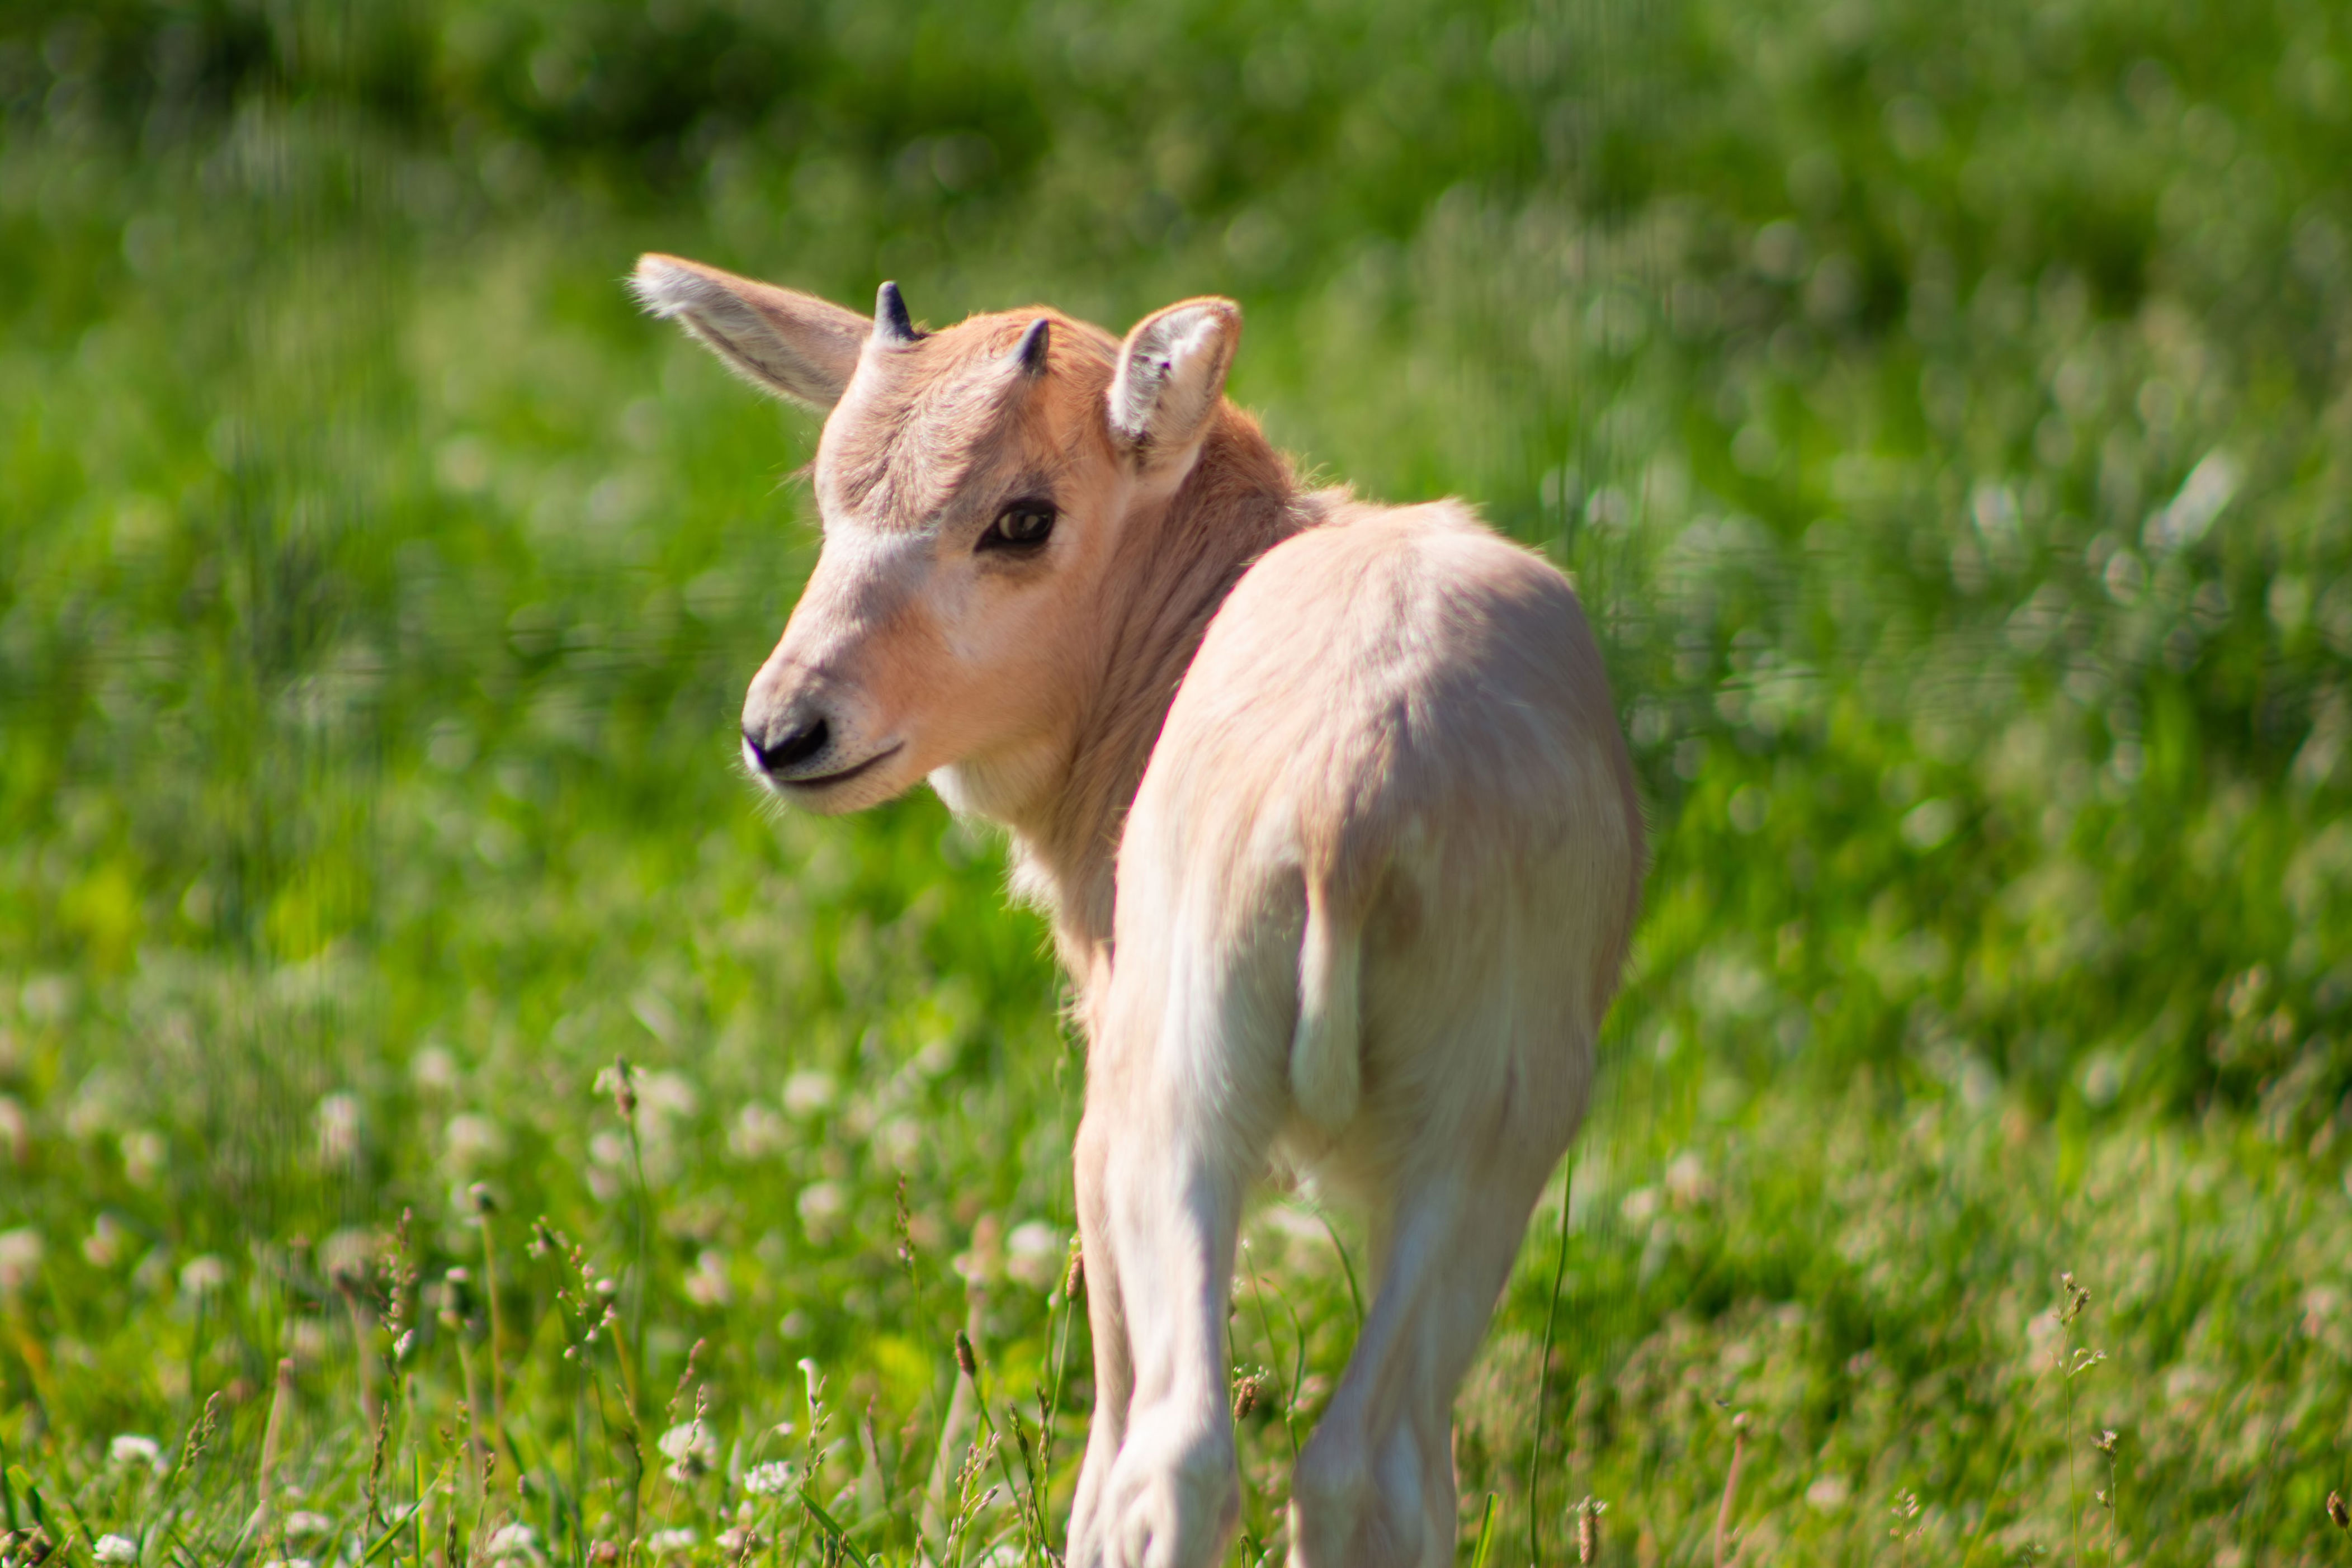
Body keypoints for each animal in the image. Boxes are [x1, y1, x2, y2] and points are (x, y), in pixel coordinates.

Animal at [631, 255, 1644, 1568]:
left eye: (1023, 517)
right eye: (827, 489)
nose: (786, 731)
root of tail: (1350, 798)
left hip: (1169, 1119)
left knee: (1173, 1453)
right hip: (1479, 1139)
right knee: (1376, 1464)